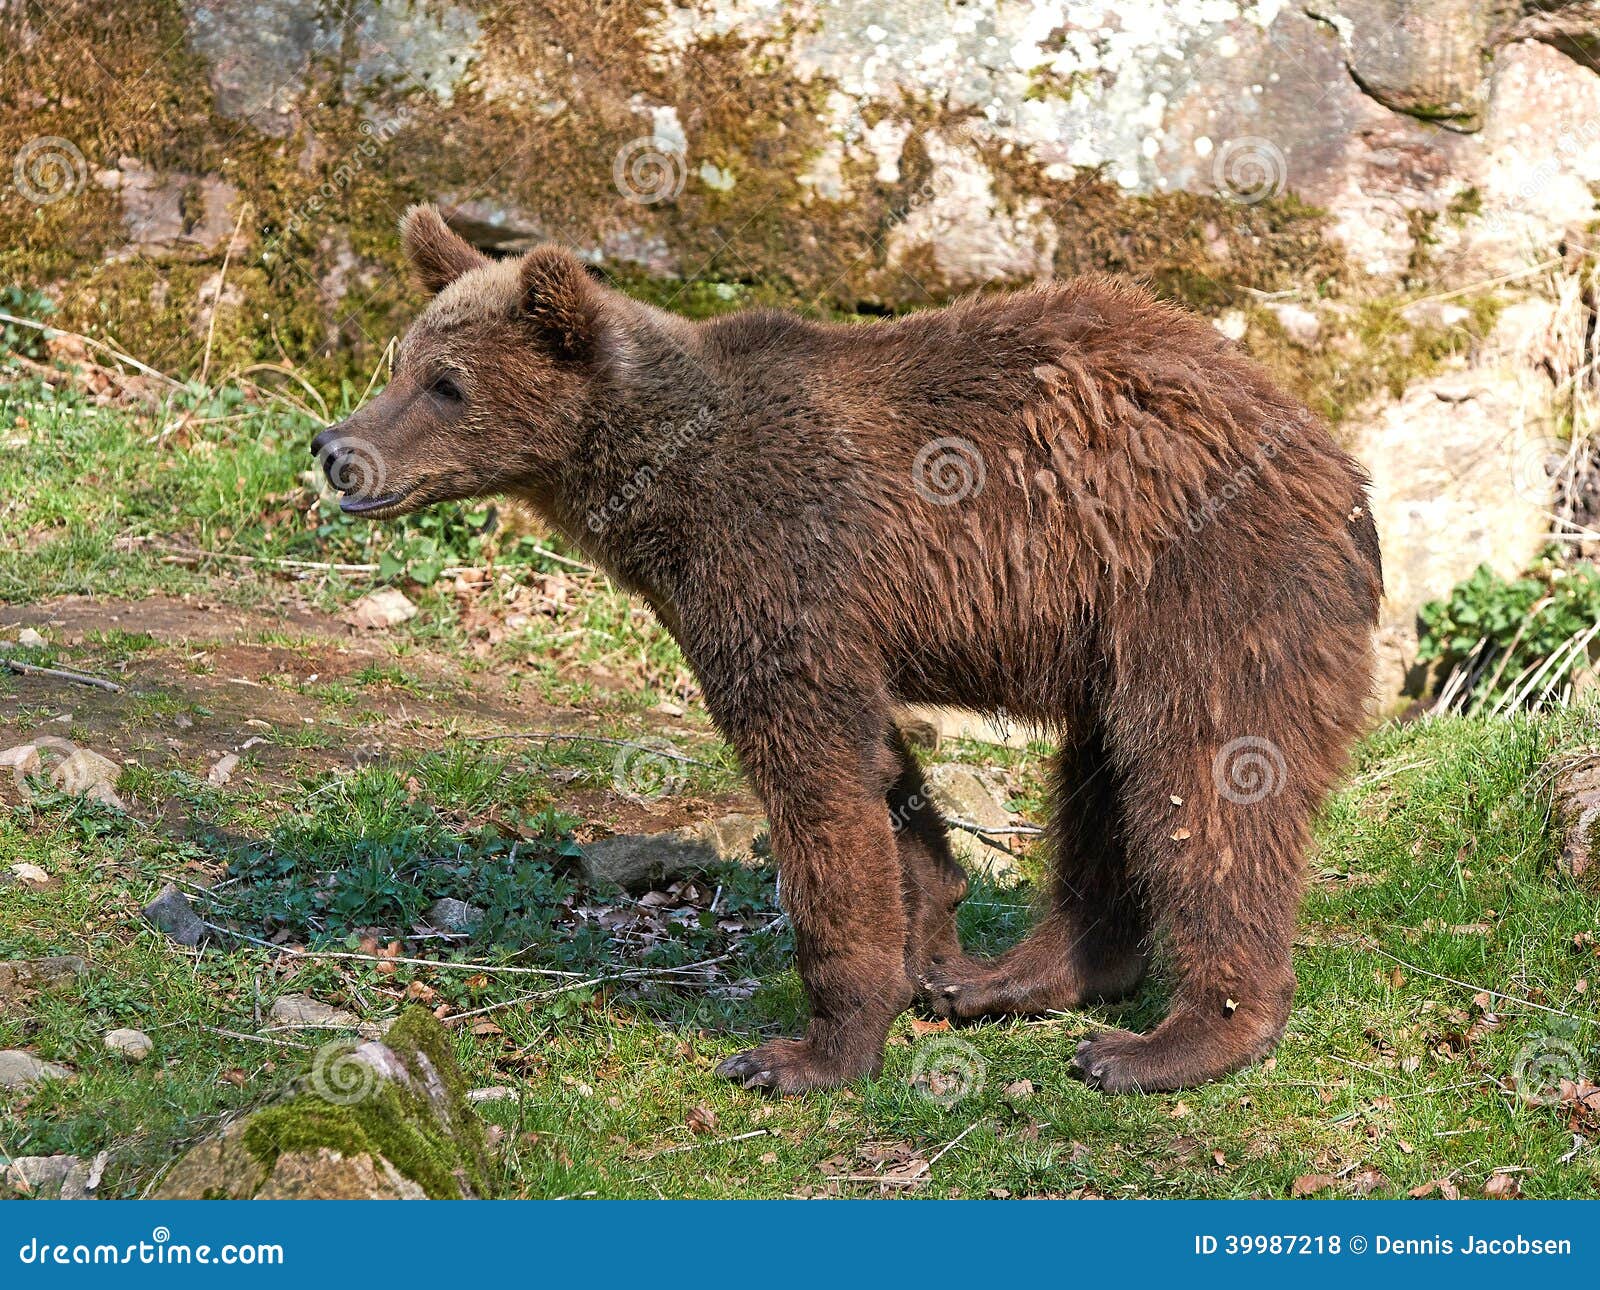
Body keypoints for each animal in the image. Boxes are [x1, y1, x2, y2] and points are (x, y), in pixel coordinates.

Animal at [311, 205, 1382, 1095]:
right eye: (404, 359)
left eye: (447, 385)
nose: (335, 448)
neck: (660, 492)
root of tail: (1336, 463)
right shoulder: (820, 611)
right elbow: (880, 775)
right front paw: (929, 943)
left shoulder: (776, 566)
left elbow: (817, 781)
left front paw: (806, 1051)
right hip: (1109, 629)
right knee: (1104, 777)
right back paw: (1020, 977)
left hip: (1201, 583)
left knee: (1205, 780)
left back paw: (1171, 1041)